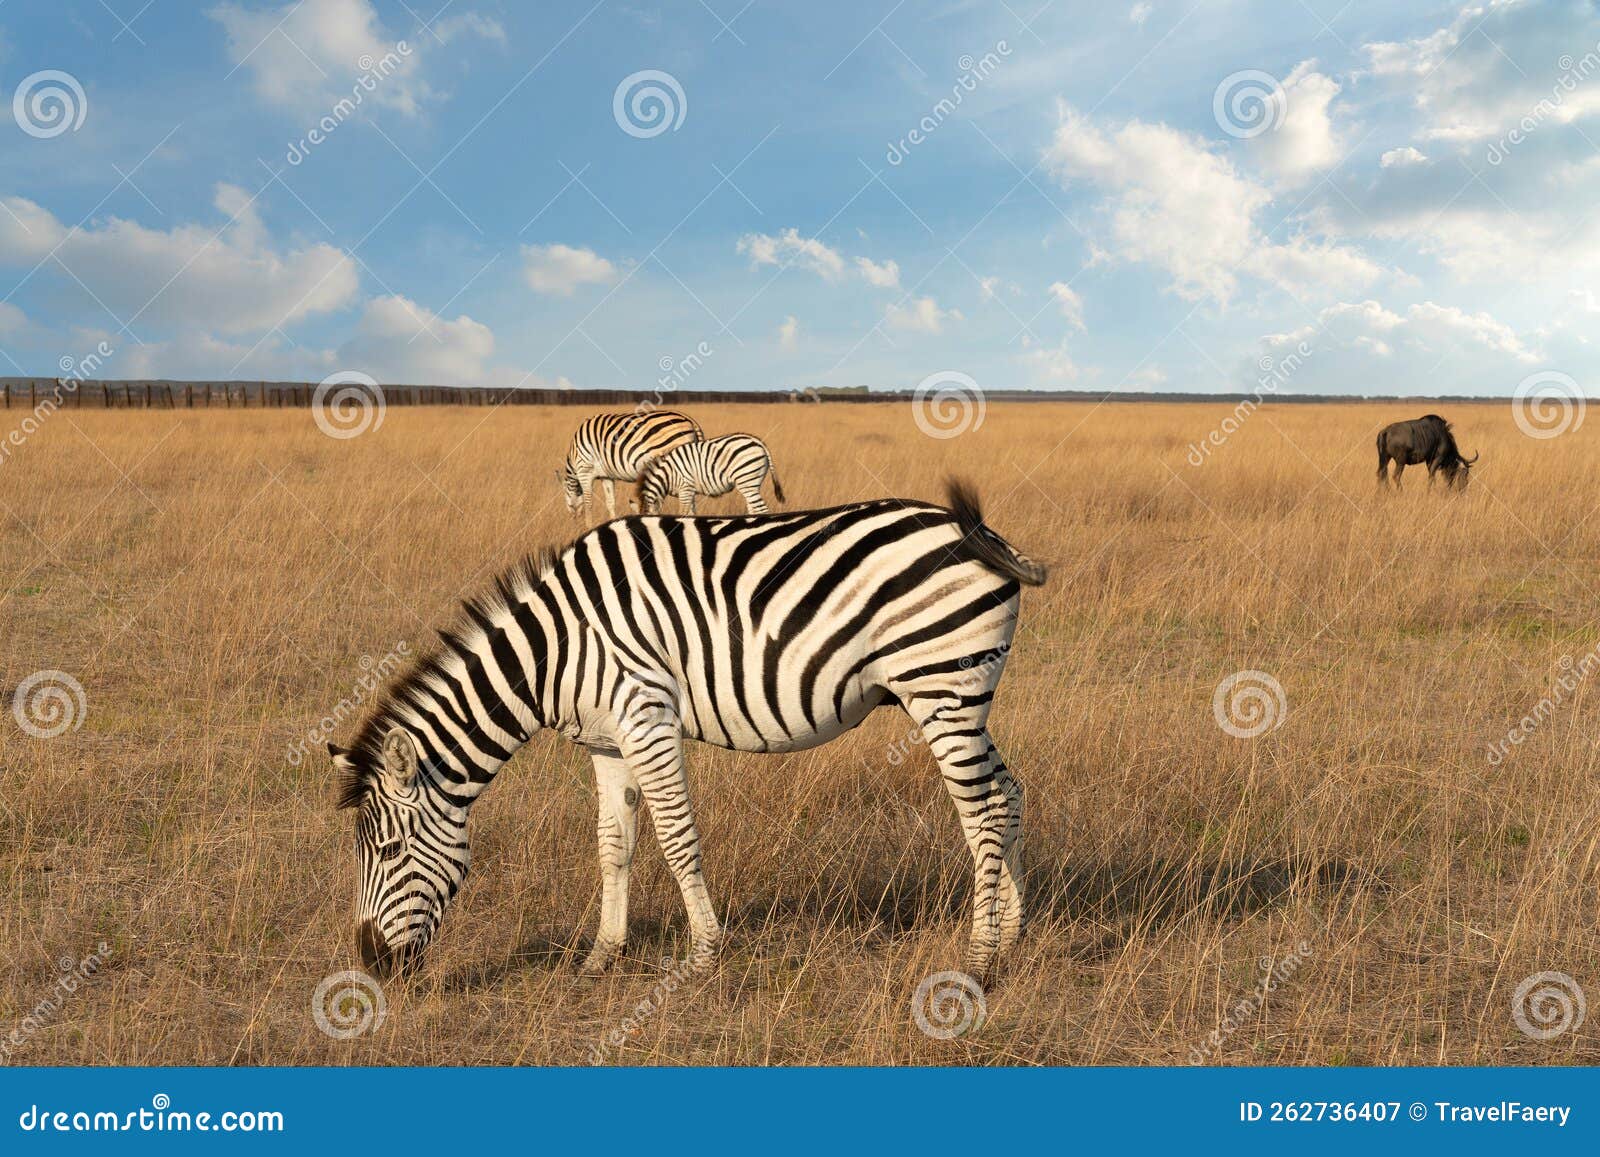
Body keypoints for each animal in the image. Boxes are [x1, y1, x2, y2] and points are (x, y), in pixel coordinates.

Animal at [329, 480, 1046, 983]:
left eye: (387, 852)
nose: (371, 965)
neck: (555, 650)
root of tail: (980, 532)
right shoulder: (606, 741)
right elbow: (612, 845)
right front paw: (602, 956)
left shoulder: (646, 718)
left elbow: (676, 838)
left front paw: (703, 954)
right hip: (963, 695)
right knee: (1008, 794)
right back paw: (1012, 933)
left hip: (941, 687)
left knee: (982, 809)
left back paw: (978, 958)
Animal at [556, 409, 703, 521]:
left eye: (567, 502)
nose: (574, 520)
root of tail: (689, 420)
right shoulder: (606, 476)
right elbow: (610, 502)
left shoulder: (584, 470)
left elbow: (588, 502)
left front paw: (588, 527)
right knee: (691, 505)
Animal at [631, 432, 785, 515]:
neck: (667, 475)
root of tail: (758, 441)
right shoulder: (690, 492)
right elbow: (691, 514)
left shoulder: (685, 489)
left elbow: (684, 513)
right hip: (750, 485)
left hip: (747, 481)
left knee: (762, 510)